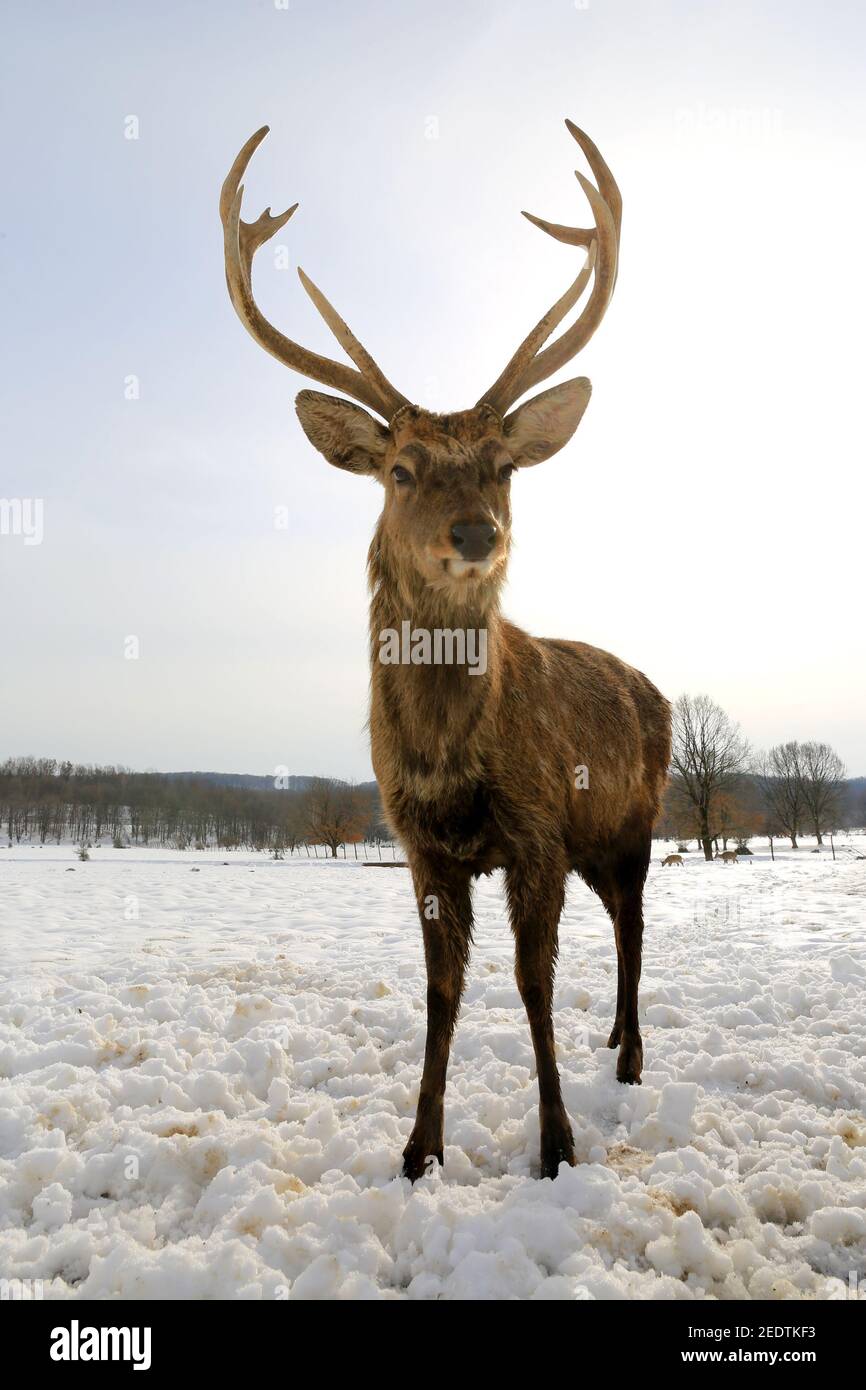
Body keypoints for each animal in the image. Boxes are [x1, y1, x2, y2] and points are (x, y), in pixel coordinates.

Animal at [220, 120, 672, 1180]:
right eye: (400, 467)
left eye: (503, 466)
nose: (475, 533)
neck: (447, 761)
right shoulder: (423, 847)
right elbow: (441, 996)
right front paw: (418, 1149)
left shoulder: (539, 828)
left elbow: (534, 987)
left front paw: (557, 1145)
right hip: (599, 844)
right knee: (621, 924)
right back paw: (612, 1042)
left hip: (637, 819)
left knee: (637, 926)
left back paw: (631, 1057)